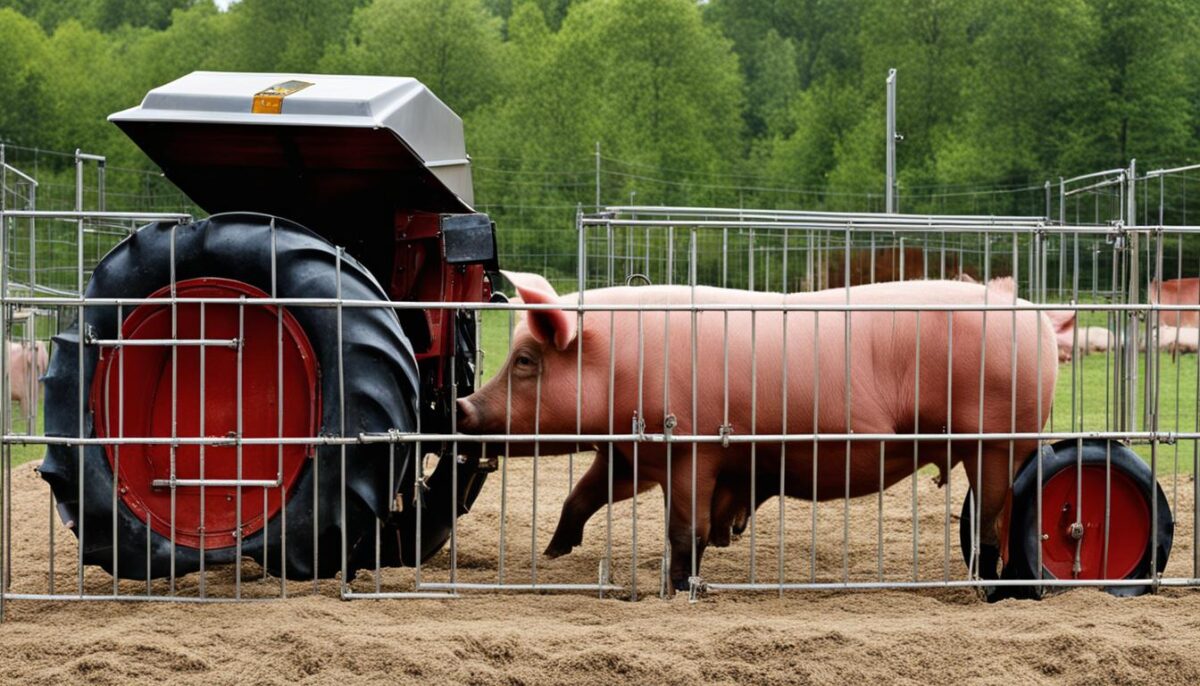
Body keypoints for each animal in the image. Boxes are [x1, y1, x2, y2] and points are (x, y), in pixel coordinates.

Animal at [457, 272, 1059, 590]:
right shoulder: (631, 456)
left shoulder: (690, 448)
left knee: (992, 520)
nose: (462, 407)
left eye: (526, 360)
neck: (619, 362)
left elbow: (686, 530)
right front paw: (552, 556)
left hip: (997, 439)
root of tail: (1036, 318)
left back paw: (988, 584)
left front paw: (679, 587)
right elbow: (582, 495)